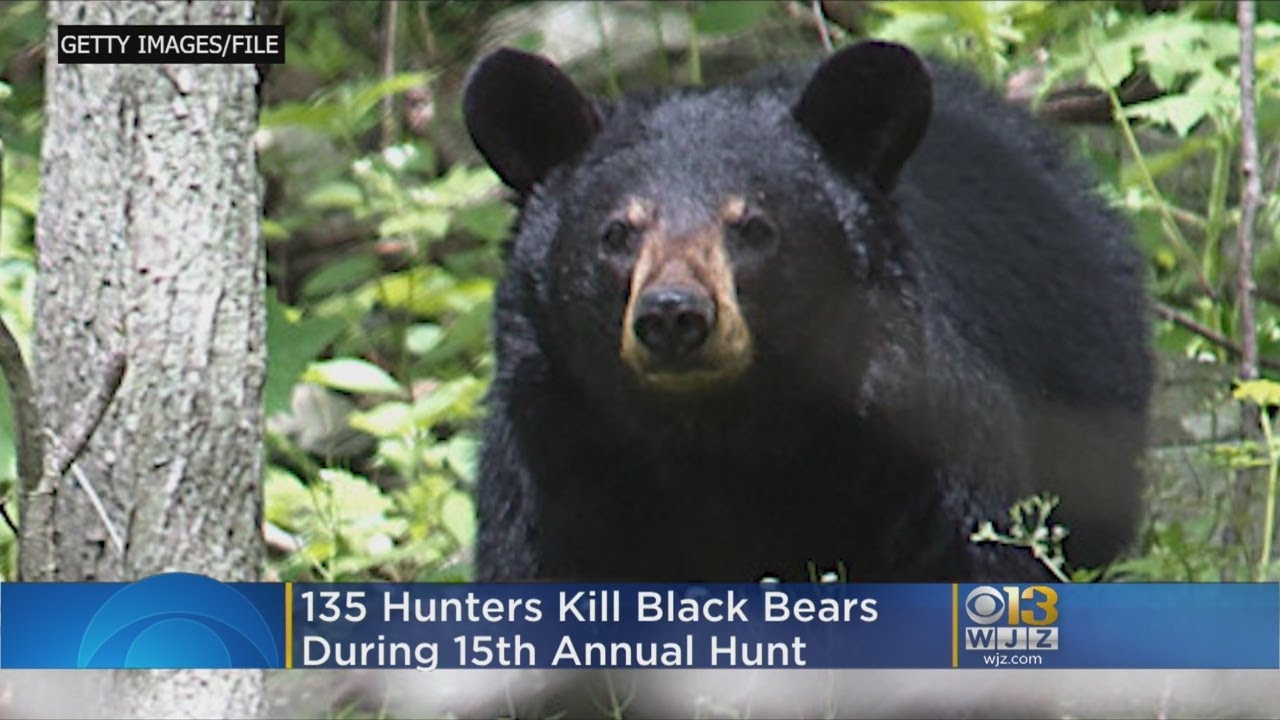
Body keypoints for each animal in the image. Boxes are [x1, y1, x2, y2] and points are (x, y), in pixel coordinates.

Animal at [461, 40, 1153, 583]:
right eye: (617, 233)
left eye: (753, 227)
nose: (674, 315)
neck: (714, 440)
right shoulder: (554, 466)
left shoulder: (917, 452)